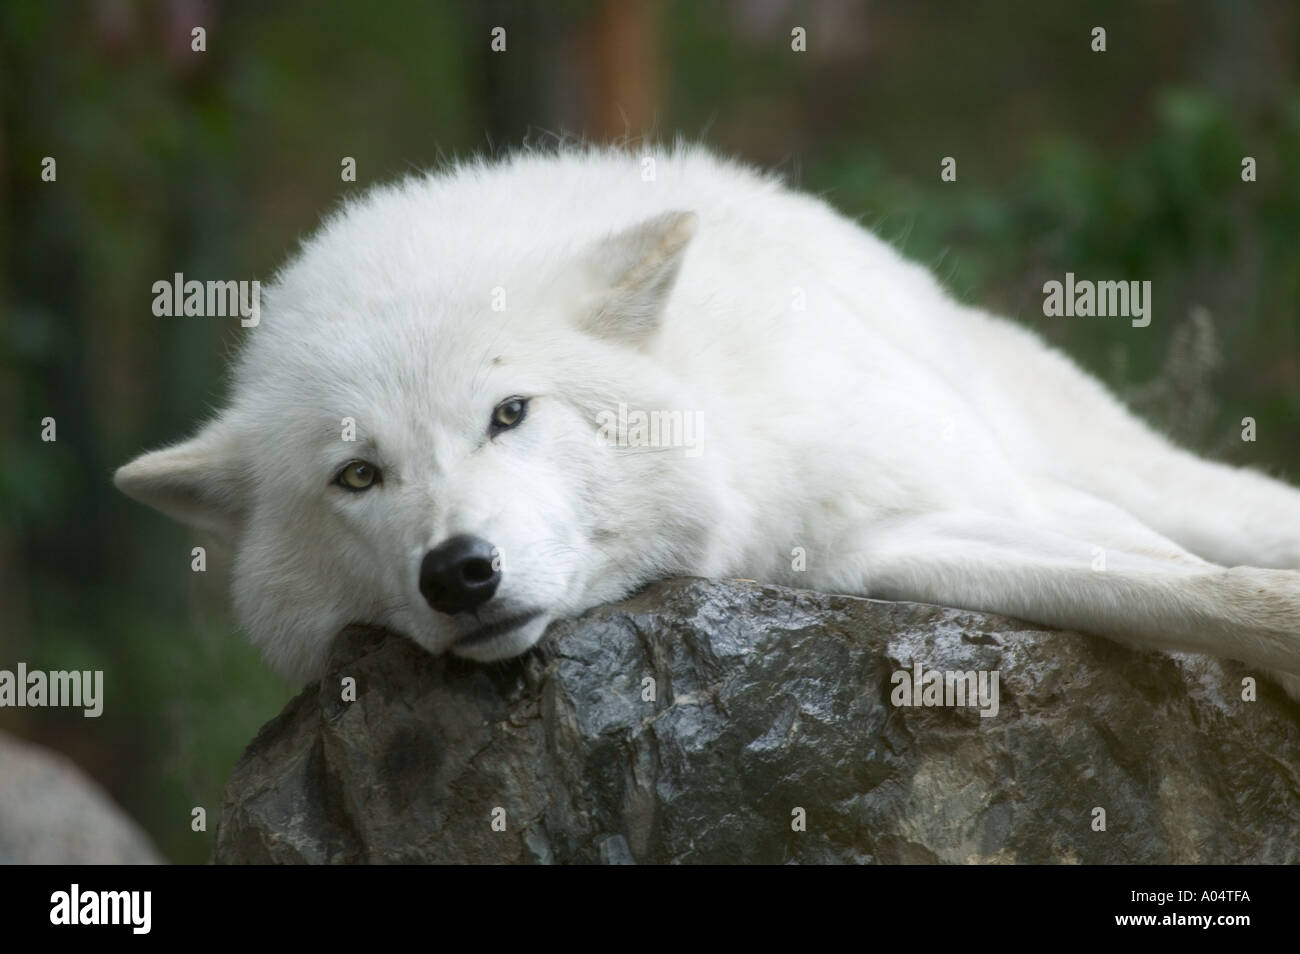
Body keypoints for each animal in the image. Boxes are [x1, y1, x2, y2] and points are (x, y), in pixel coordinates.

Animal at [115, 145, 1300, 695]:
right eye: (357, 476)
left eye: (509, 414)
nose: (458, 572)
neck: (733, 443)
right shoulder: (877, 554)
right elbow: (1170, 593)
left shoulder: (974, 490)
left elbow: (1214, 587)